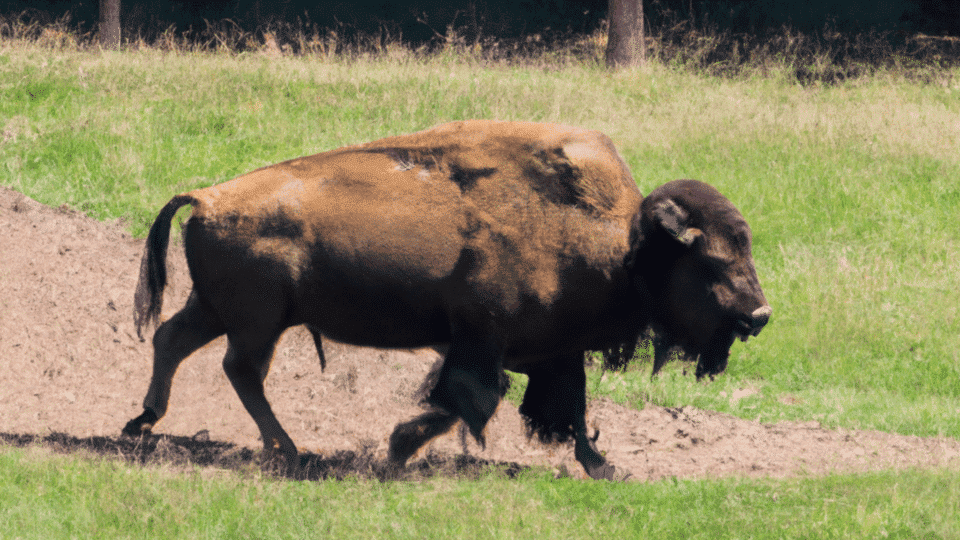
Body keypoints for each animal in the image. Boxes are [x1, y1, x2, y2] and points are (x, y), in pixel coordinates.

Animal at [122, 120, 771, 480]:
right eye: (713, 263)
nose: (759, 315)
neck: (623, 244)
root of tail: (208, 197)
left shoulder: (554, 352)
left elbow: (570, 412)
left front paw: (606, 467)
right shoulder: (482, 341)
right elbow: (469, 398)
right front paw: (396, 450)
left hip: (220, 310)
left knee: (174, 339)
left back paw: (144, 423)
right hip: (258, 321)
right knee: (240, 370)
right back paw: (288, 450)